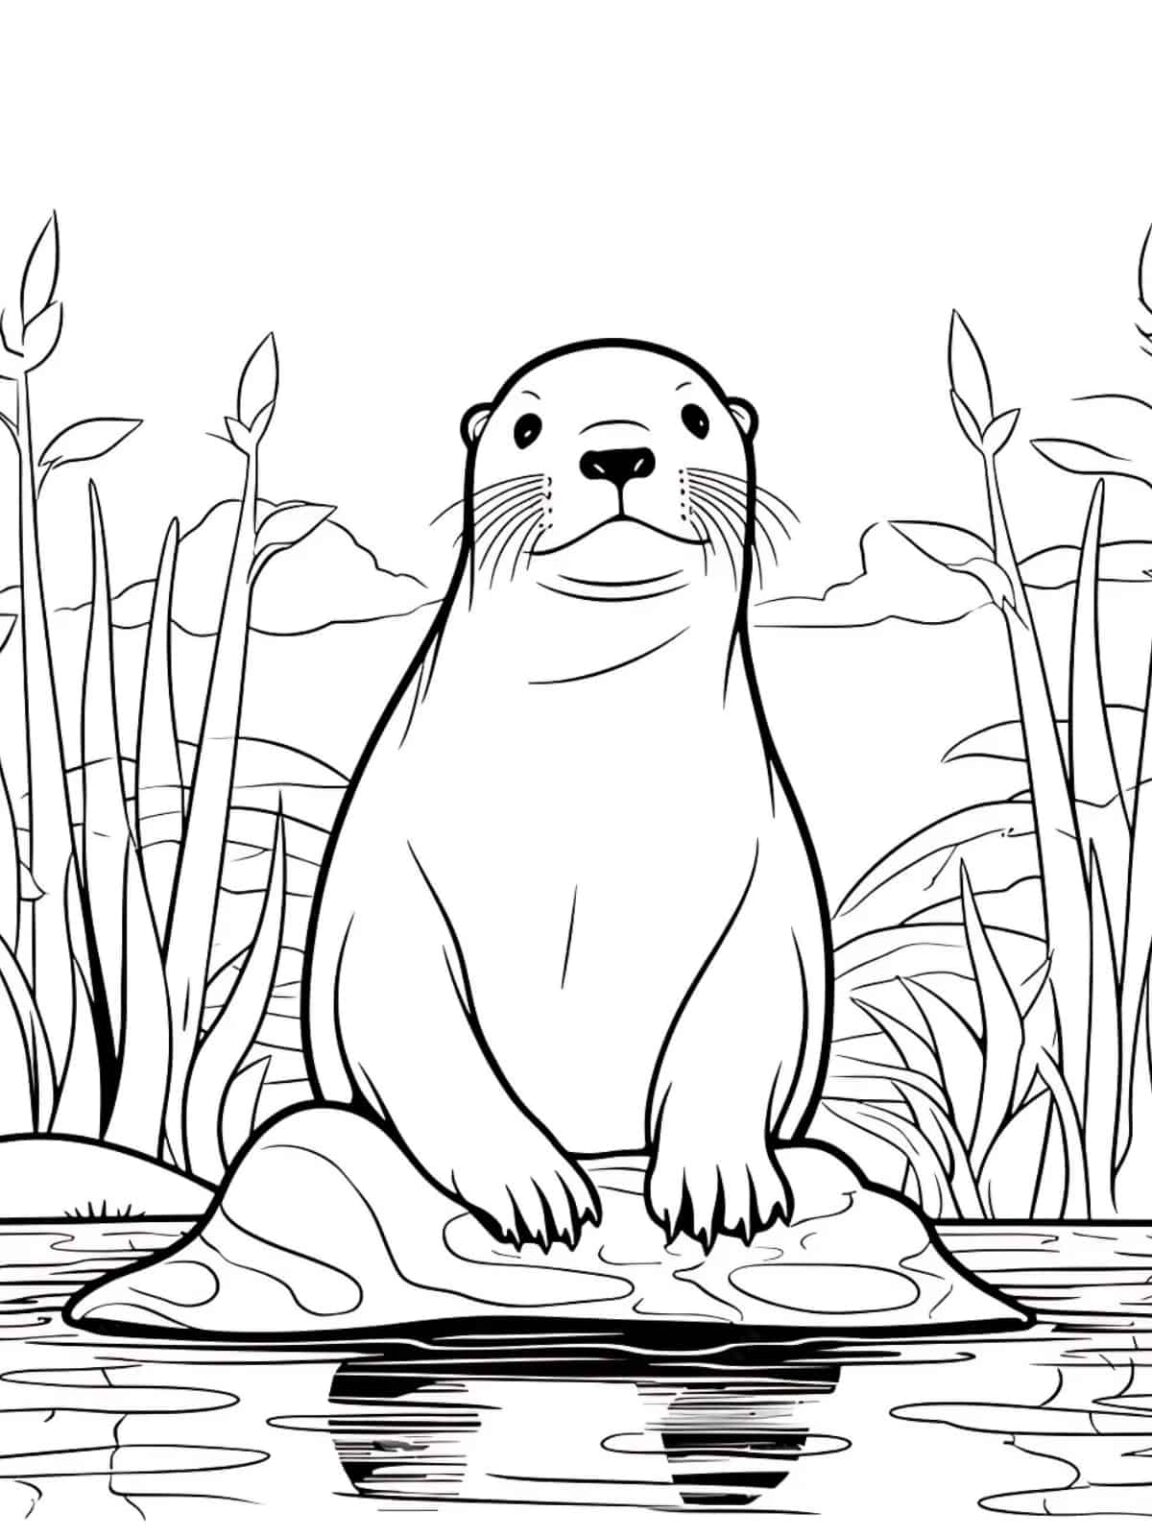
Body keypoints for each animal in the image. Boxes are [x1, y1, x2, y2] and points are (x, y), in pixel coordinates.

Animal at [302, 339, 832, 1251]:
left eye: (696, 416)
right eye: (525, 427)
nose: (617, 454)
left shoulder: (763, 884)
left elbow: (740, 1019)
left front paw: (719, 1181)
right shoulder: (391, 883)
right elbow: (419, 1029)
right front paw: (533, 1187)